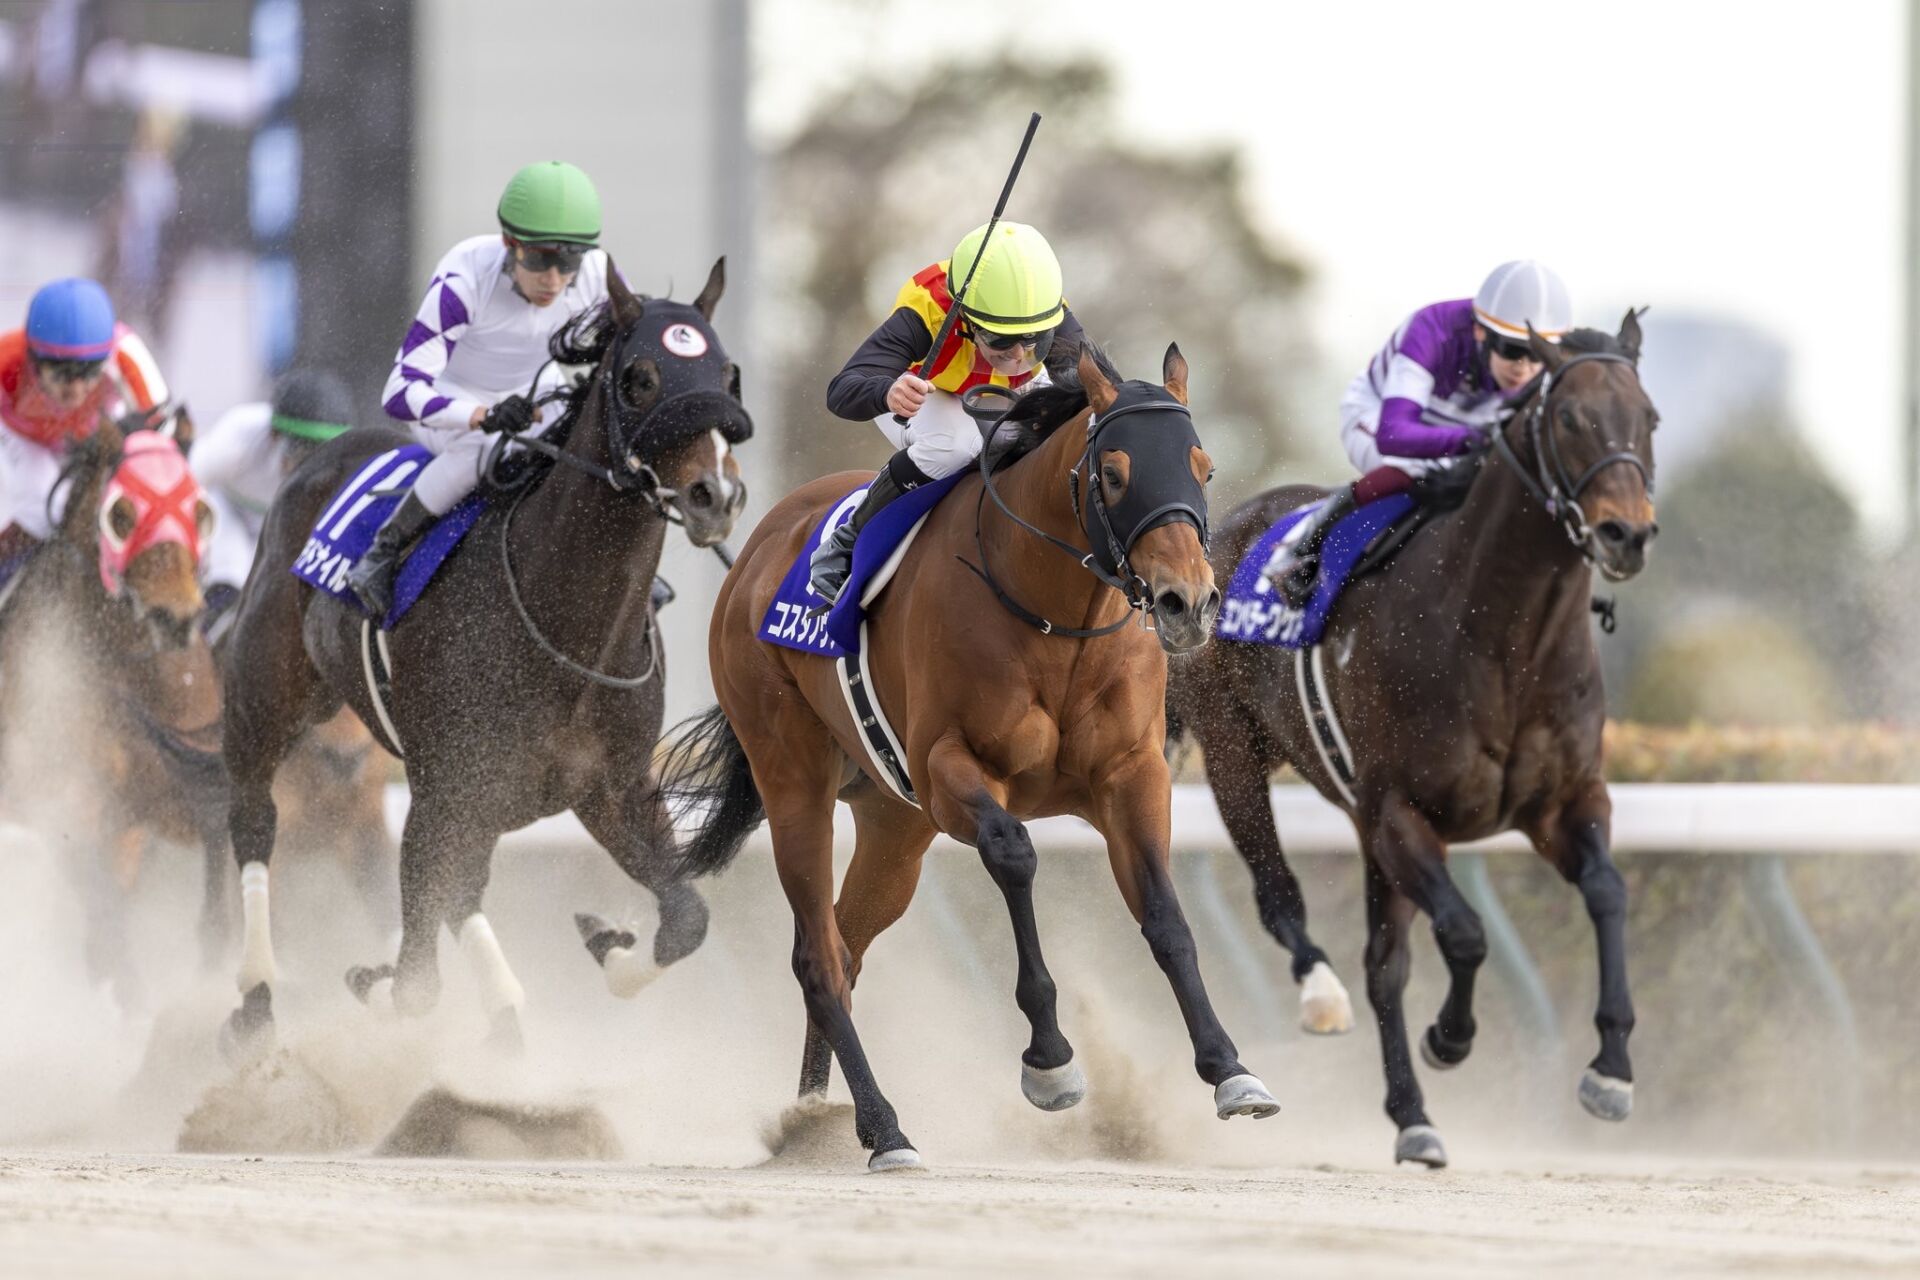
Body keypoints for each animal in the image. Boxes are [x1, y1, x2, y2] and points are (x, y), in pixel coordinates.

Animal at [218, 260, 750, 1053]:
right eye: (640, 377)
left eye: (727, 373)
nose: (716, 494)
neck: (568, 634)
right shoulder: (441, 790)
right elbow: (416, 985)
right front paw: (375, 982)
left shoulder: (613, 787)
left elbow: (686, 921)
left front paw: (606, 942)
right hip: (266, 697)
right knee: (255, 821)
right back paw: (254, 1002)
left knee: (464, 891)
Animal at [663, 345, 1279, 1172]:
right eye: (1115, 473)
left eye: (1203, 468)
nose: (1189, 601)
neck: (1053, 616)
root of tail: (754, 554)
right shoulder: (949, 772)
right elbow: (1014, 854)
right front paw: (1049, 1062)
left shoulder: (1132, 777)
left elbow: (1166, 916)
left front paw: (1230, 1069)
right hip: (795, 779)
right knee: (817, 956)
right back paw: (885, 1128)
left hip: (894, 829)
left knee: (844, 944)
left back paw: (814, 1118)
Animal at [1166, 314, 1658, 1168]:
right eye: (1569, 418)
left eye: (1650, 418)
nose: (1625, 532)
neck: (1504, 638)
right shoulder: (1399, 812)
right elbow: (1464, 934)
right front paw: (1450, 1037)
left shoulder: (1564, 802)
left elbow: (1606, 891)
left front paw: (1611, 1070)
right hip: (1233, 755)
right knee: (1284, 900)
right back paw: (1323, 999)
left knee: (1381, 964)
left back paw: (1411, 1115)